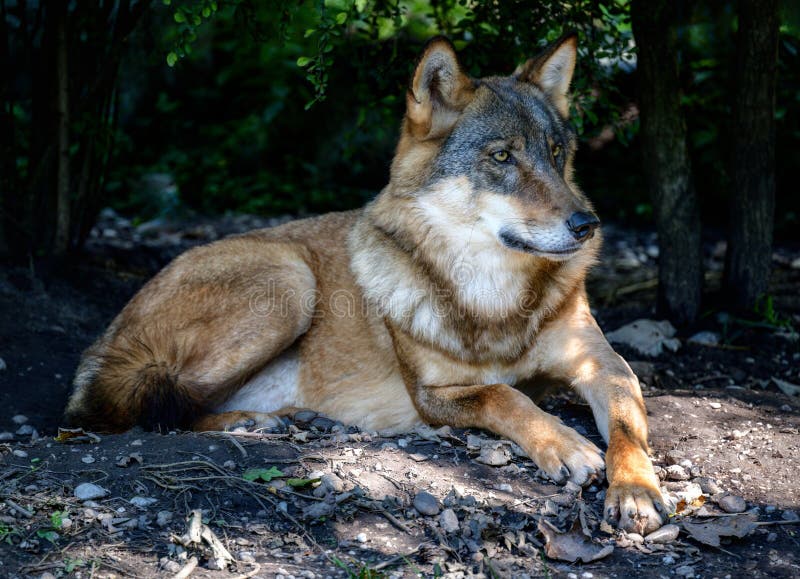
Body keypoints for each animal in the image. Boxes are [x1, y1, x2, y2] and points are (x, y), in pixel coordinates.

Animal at [65, 34, 666, 533]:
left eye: (556, 154)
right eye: (502, 157)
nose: (588, 225)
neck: (493, 303)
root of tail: (102, 343)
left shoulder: (603, 365)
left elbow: (626, 431)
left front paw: (636, 491)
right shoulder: (434, 396)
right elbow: (506, 395)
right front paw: (564, 445)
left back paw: (278, 418)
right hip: (290, 281)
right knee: (127, 414)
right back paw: (252, 423)